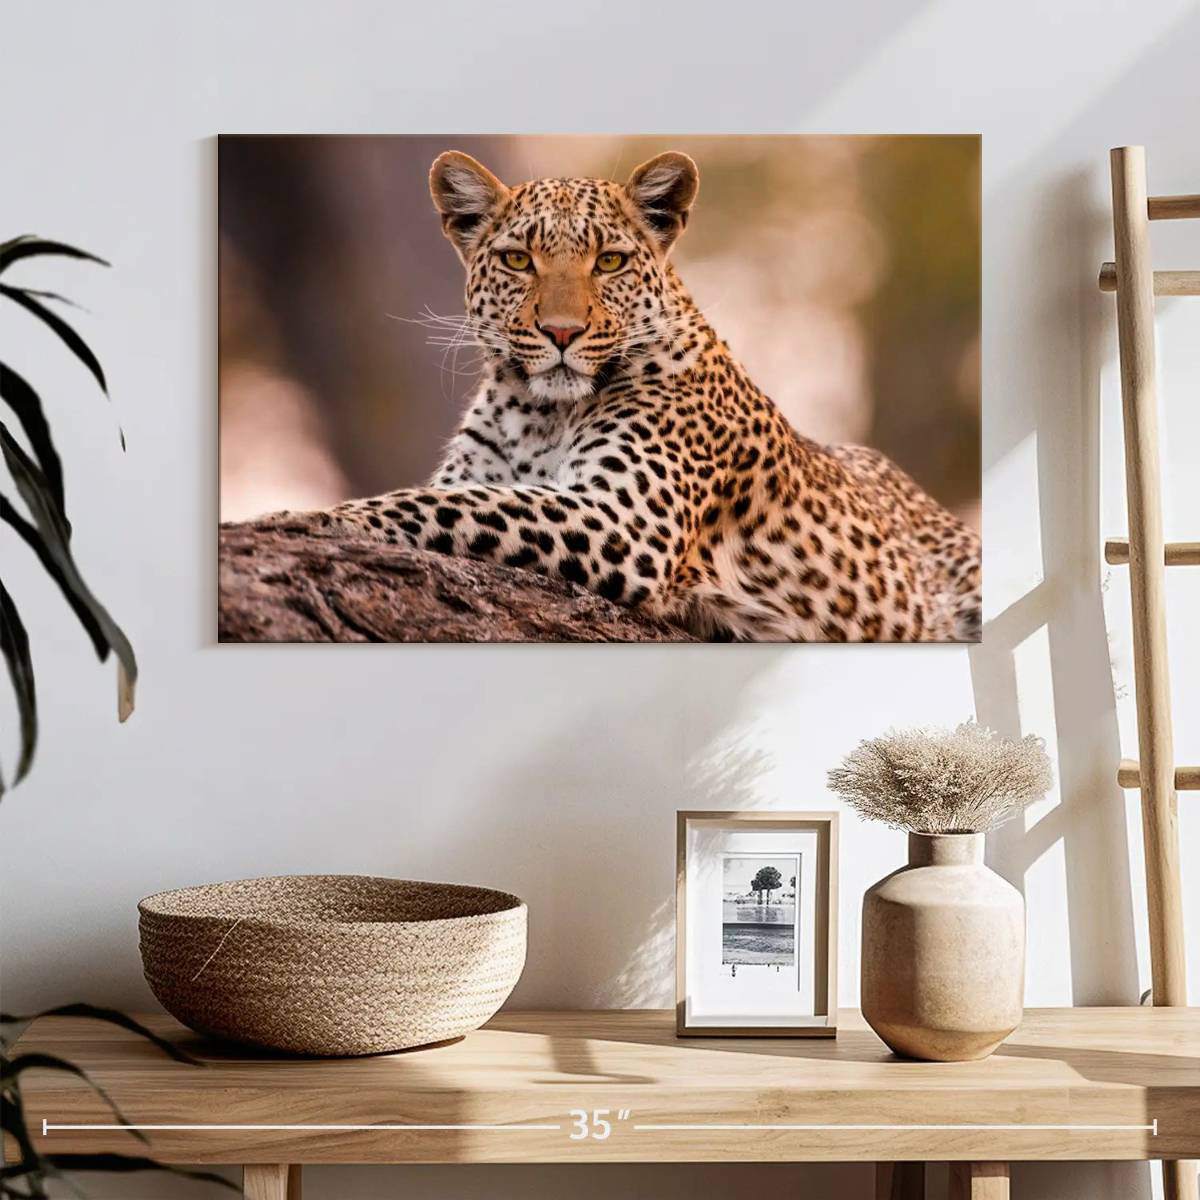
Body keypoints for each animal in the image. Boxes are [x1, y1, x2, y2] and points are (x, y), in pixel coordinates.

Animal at [270, 149, 981, 642]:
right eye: (519, 261)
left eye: (609, 262)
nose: (561, 332)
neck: (539, 414)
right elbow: (458, 494)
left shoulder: (628, 520)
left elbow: (451, 505)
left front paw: (303, 519)